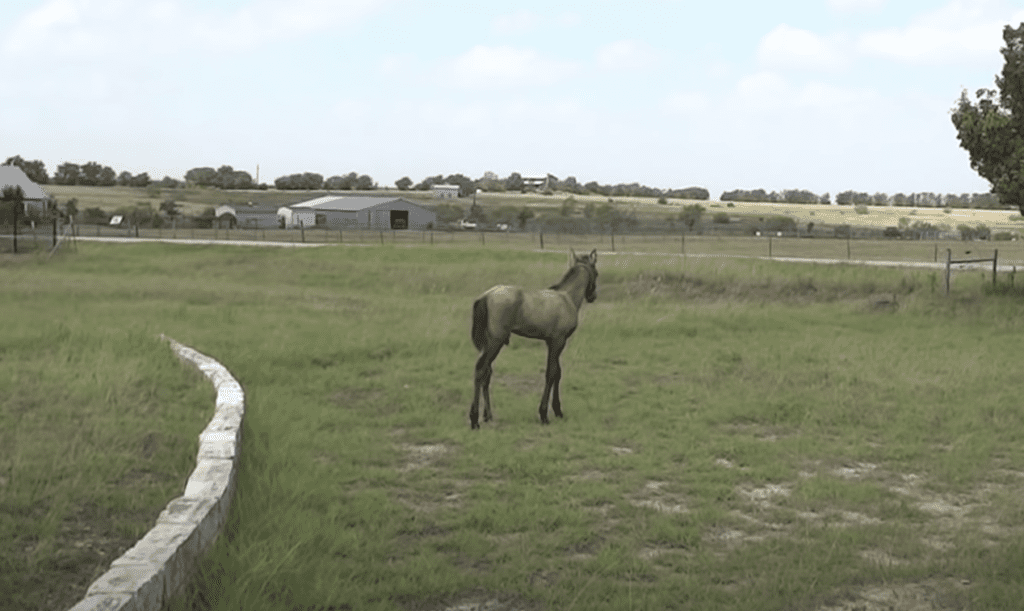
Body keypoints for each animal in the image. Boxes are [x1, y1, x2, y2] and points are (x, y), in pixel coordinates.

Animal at [469, 249, 598, 429]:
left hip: (491, 343)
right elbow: (551, 373)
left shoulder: (552, 342)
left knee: (487, 373)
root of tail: (486, 295)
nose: (593, 296)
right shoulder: (558, 341)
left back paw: (488, 415)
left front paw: (558, 410)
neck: (566, 298)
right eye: (597, 273)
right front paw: (544, 414)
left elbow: (558, 372)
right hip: (495, 342)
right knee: (481, 370)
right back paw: (474, 419)